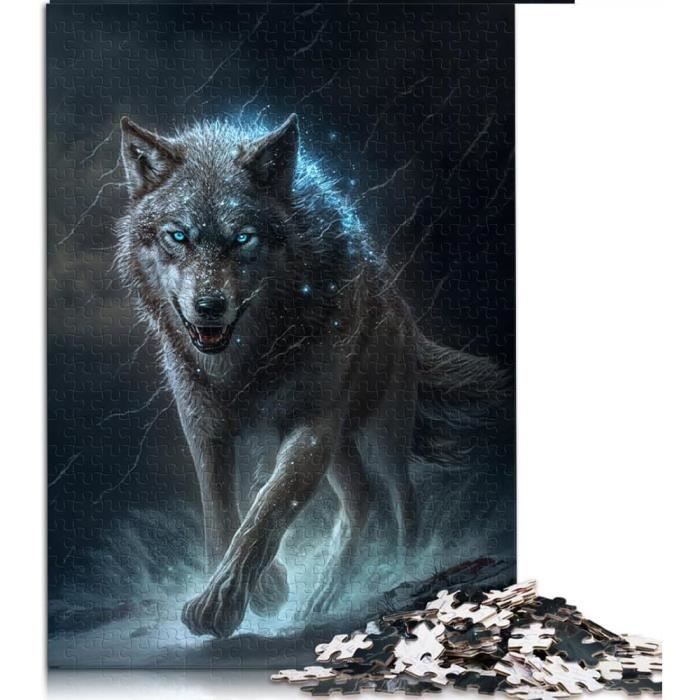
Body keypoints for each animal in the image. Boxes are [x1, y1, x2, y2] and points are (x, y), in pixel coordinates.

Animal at [115, 114, 504, 638]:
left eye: (243, 238)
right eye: (179, 237)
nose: (210, 306)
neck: (247, 362)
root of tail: (397, 297)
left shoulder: (311, 427)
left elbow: (265, 512)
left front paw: (222, 604)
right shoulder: (204, 427)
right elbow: (221, 514)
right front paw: (263, 589)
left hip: (378, 434)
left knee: (403, 498)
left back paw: (402, 573)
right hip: (342, 443)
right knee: (361, 498)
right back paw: (323, 595)